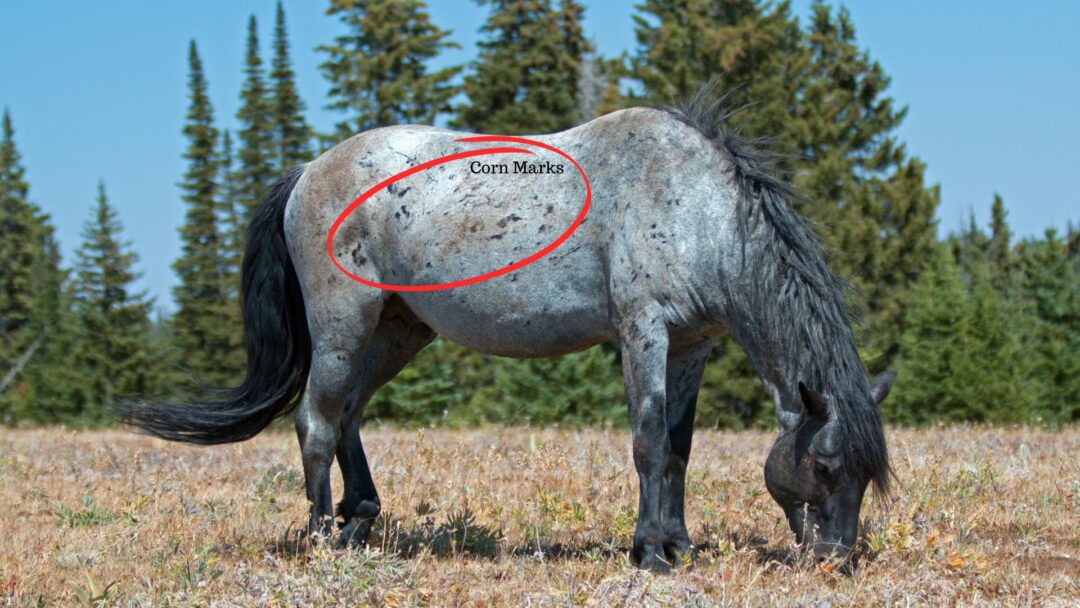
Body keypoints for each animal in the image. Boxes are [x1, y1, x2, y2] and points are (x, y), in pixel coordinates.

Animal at [118, 87, 895, 572]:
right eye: (826, 466)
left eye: (866, 474)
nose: (835, 558)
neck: (696, 205)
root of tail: (307, 170)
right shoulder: (642, 332)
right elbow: (648, 442)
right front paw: (648, 551)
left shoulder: (692, 347)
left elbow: (678, 449)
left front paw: (679, 545)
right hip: (345, 322)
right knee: (316, 420)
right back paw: (319, 541)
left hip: (399, 330)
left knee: (348, 415)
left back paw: (360, 522)